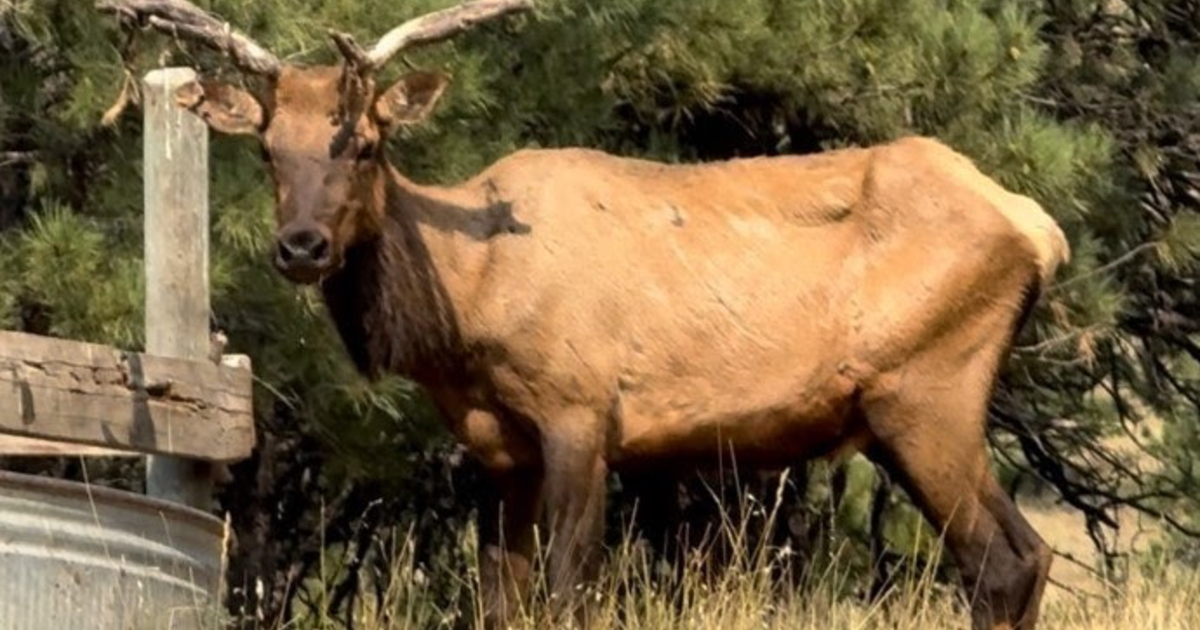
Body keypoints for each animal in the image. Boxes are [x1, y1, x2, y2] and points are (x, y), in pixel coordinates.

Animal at [98, 1, 1070, 628]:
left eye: (366, 144)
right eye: (269, 150)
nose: (301, 246)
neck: (466, 312)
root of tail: (1040, 230)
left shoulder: (579, 409)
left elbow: (570, 593)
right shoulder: (498, 449)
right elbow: (501, 601)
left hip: (927, 389)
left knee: (1005, 560)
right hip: (909, 405)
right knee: (1017, 557)